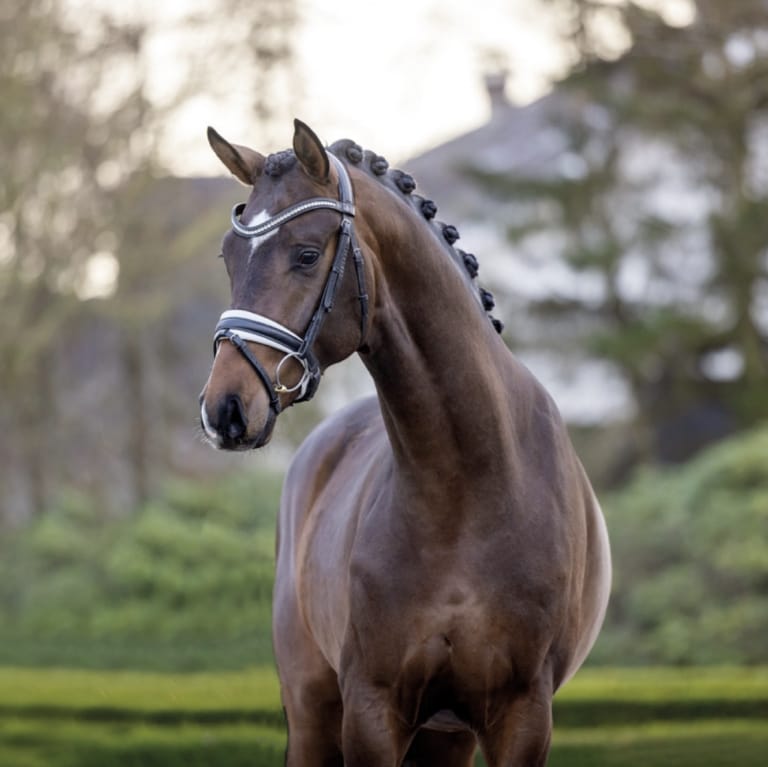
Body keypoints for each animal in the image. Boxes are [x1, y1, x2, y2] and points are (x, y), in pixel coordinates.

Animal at [199, 119, 611, 767]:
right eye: (229, 256)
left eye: (306, 254)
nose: (226, 410)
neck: (467, 485)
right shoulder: (372, 709)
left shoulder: (523, 715)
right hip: (313, 709)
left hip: (445, 735)